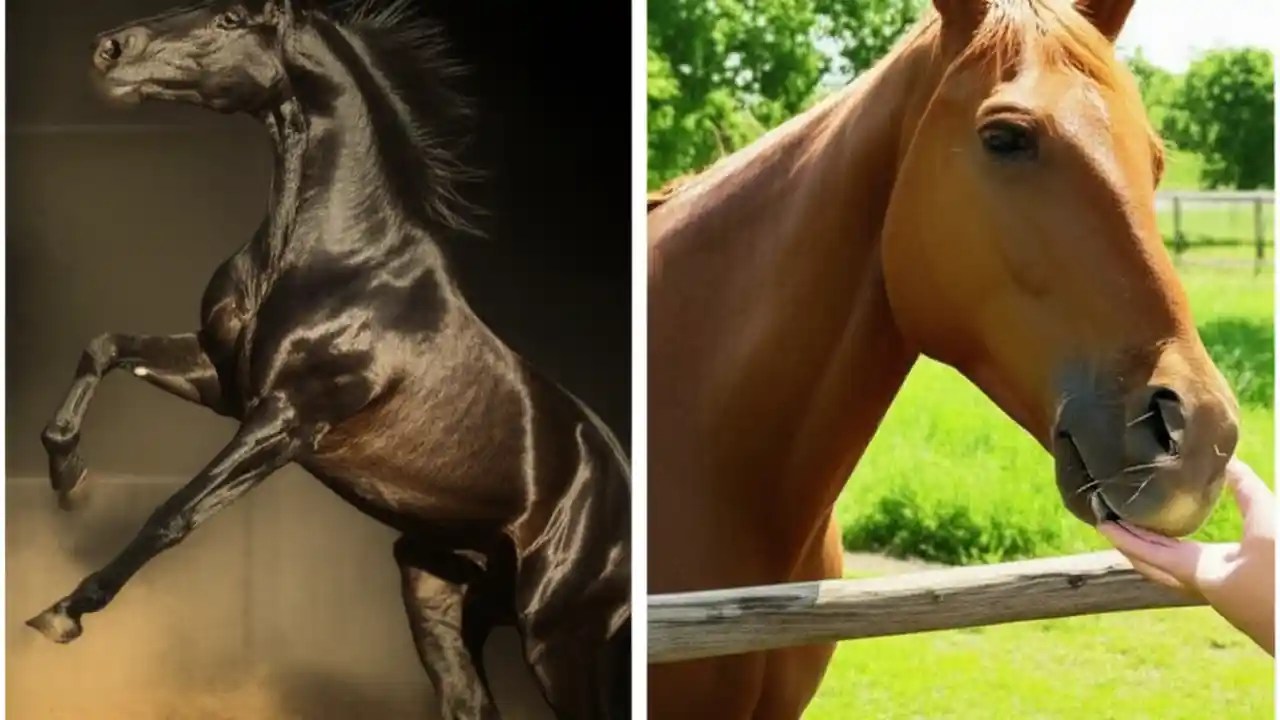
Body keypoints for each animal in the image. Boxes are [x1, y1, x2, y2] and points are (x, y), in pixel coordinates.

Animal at [25, 2, 631, 718]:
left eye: (231, 18)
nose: (110, 47)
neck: (335, 258)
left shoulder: (287, 419)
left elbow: (175, 512)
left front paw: (63, 611)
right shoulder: (224, 381)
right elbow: (105, 347)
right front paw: (70, 480)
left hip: (561, 641)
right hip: (440, 601)